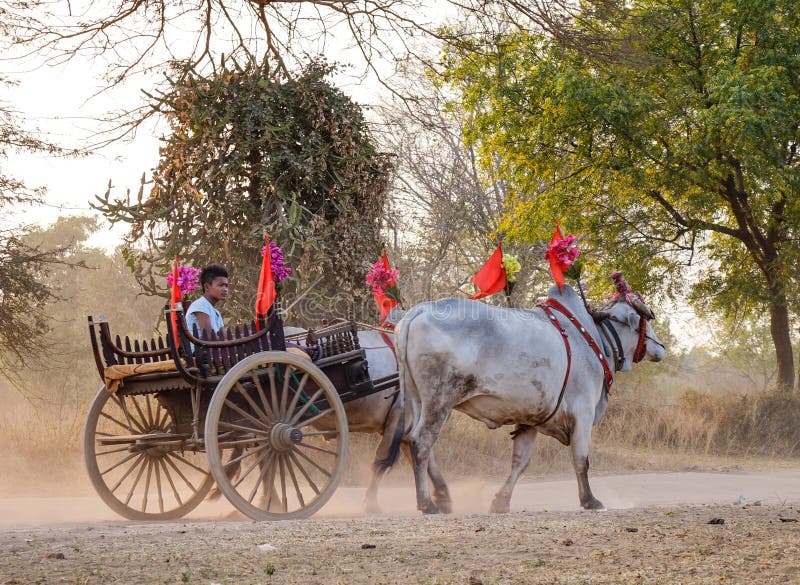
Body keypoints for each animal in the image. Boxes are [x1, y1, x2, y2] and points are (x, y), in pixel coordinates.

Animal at [396, 273, 665, 514]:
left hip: (418, 401)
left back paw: (442, 497)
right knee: (421, 442)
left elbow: (520, 462)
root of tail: (419, 310)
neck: (595, 340)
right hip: (439, 401)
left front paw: (501, 502)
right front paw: (590, 500)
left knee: (411, 440)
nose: (661, 347)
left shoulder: (530, 419)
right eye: (647, 319)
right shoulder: (584, 413)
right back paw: (427, 503)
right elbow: (581, 460)